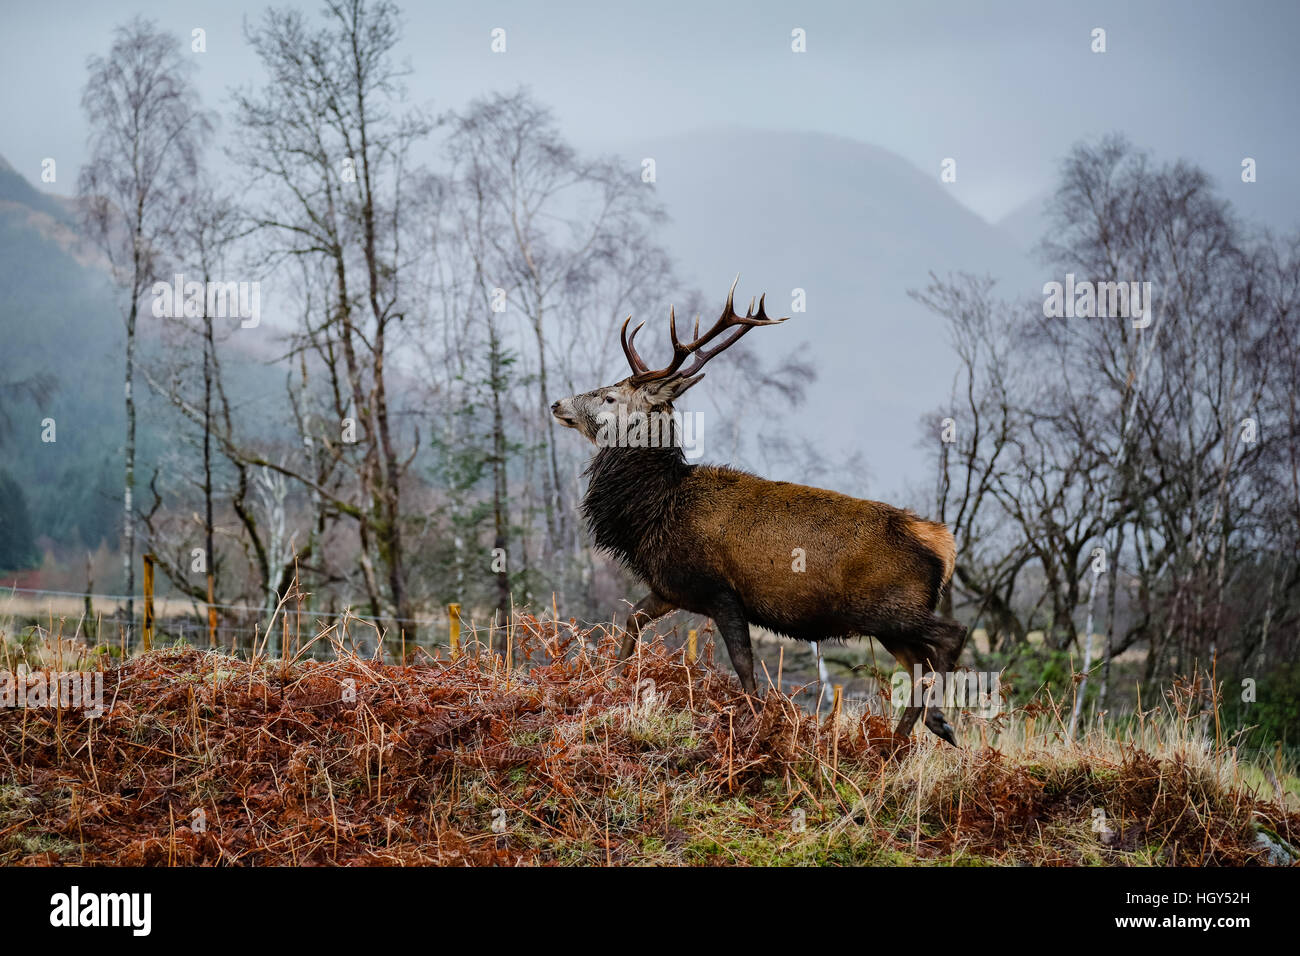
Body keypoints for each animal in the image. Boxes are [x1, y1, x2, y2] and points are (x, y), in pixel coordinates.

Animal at [550, 278, 967, 744]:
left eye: (608, 396)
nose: (557, 404)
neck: (655, 510)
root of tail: (943, 543)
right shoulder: (672, 587)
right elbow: (631, 619)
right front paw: (614, 682)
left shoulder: (721, 590)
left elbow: (745, 667)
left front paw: (756, 724)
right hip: (886, 620)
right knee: (917, 664)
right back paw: (900, 742)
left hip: (887, 606)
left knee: (950, 636)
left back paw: (937, 721)